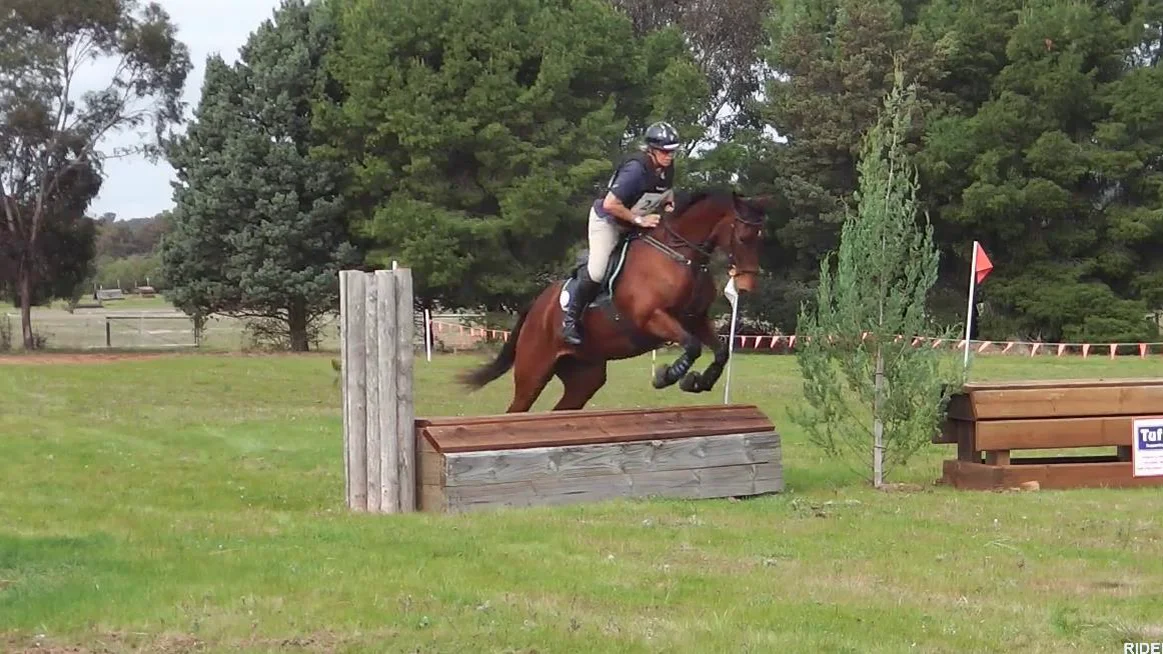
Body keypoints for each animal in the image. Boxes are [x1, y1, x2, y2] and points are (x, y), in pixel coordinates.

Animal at [456, 187, 771, 412]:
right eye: (743, 237)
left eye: (760, 237)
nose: (747, 285)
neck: (681, 256)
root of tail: (535, 308)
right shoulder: (652, 317)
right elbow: (692, 346)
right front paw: (667, 376)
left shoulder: (696, 319)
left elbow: (720, 351)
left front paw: (698, 382)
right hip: (533, 371)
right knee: (517, 408)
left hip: (585, 377)